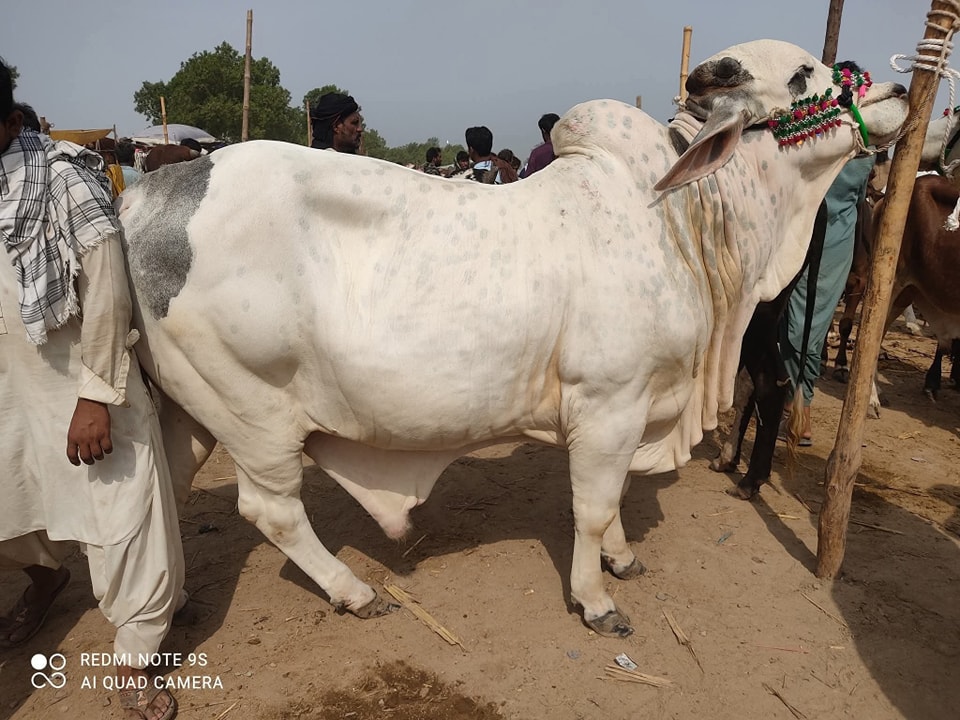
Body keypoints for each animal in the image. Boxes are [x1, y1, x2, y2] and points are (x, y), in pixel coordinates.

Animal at [116, 40, 908, 639]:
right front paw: (596, 600)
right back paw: (353, 591)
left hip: (190, 411)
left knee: (172, 484)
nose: (899, 88)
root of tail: (145, 198)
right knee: (272, 512)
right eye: (803, 74)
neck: (682, 219)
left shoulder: (634, 409)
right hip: (252, 413)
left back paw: (175, 600)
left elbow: (616, 501)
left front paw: (621, 560)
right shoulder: (610, 404)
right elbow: (594, 507)